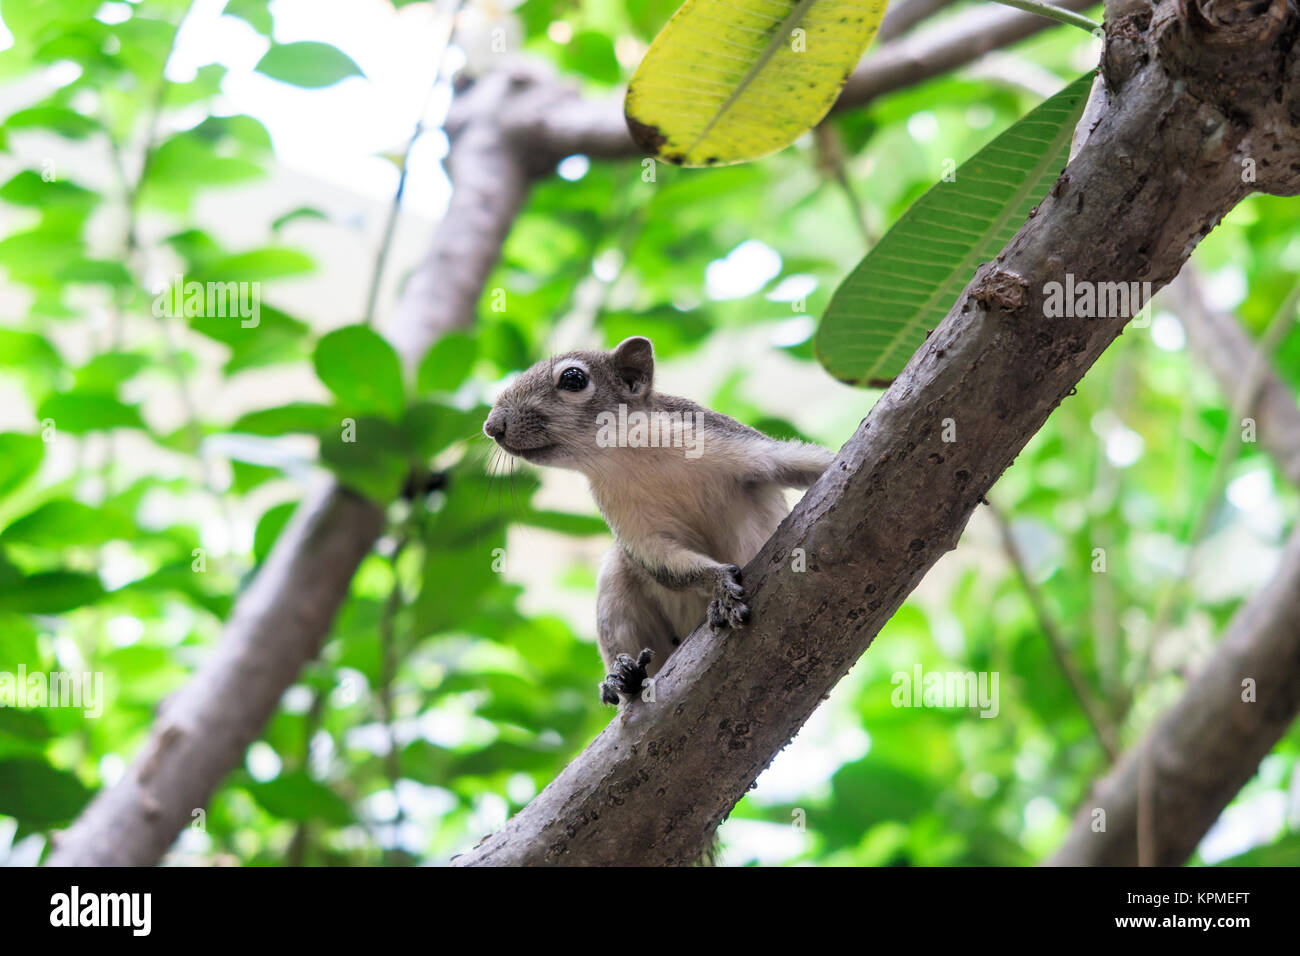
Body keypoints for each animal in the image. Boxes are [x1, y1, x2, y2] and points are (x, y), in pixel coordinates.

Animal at [483, 336, 834, 705]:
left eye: (573, 379)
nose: (492, 426)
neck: (626, 454)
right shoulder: (633, 524)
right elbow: (663, 560)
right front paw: (718, 583)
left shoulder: (731, 441)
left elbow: (801, 463)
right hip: (618, 591)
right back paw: (623, 678)